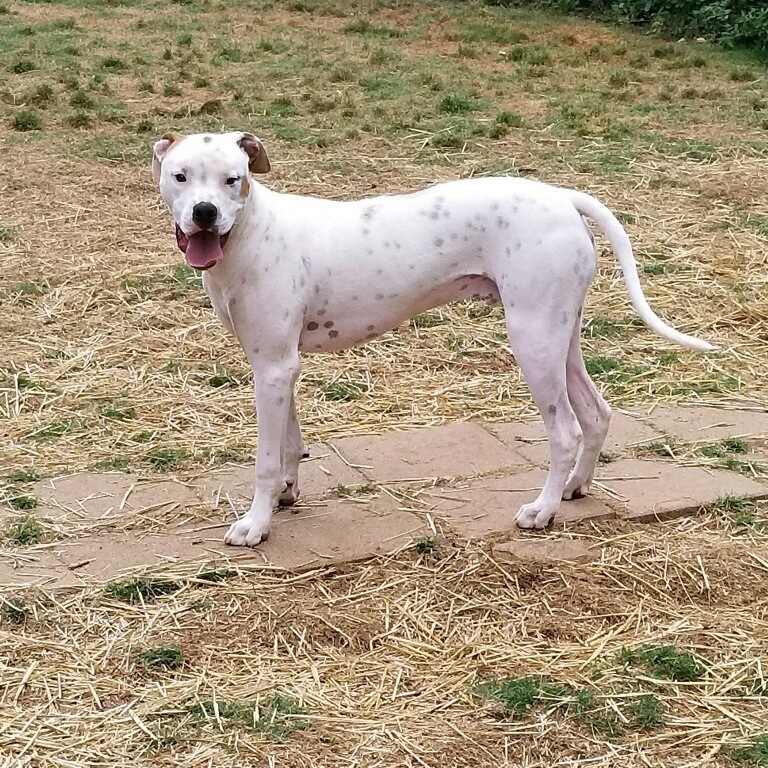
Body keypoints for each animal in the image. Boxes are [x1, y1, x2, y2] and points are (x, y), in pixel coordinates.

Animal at [153, 134, 716, 552]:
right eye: (180, 176)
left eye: (233, 179)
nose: (204, 212)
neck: (251, 233)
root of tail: (562, 196)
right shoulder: (278, 365)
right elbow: (291, 441)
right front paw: (287, 495)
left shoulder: (271, 368)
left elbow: (266, 459)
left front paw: (256, 524)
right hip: (561, 334)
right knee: (597, 413)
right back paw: (577, 488)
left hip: (533, 339)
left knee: (565, 431)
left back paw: (543, 510)